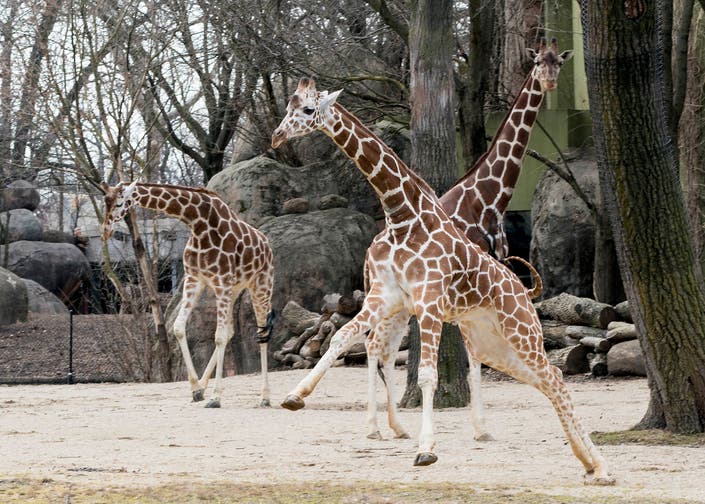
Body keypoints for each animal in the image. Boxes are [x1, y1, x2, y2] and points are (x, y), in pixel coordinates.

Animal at [100, 182, 275, 408]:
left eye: (120, 203)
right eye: (105, 202)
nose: (105, 231)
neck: (197, 222)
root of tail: (266, 243)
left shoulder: (221, 282)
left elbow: (218, 337)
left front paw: (215, 398)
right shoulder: (195, 279)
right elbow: (178, 327)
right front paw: (196, 389)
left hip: (261, 285)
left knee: (261, 332)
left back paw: (265, 397)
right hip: (235, 289)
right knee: (230, 331)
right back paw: (204, 386)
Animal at [271, 78, 613, 484]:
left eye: (308, 110)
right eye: (289, 106)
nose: (276, 136)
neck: (402, 217)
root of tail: (523, 289)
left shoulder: (429, 301)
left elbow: (427, 375)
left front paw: (426, 450)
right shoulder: (385, 297)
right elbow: (340, 337)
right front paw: (294, 397)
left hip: (521, 331)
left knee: (556, 377)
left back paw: (601, 467)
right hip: (493, 344)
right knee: (547, 380)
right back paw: (590, 464)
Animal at [364, 37, 571, 442]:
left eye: (559, 62)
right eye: (538, 62)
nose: (551, 83)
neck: (488, 200)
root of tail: (368, 250)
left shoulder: (489, 275)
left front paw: (480, 425)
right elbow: (472, 351)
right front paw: (479, 427)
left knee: (382, 348)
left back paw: (391, 425)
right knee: (374, 344)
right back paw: (377, 426)